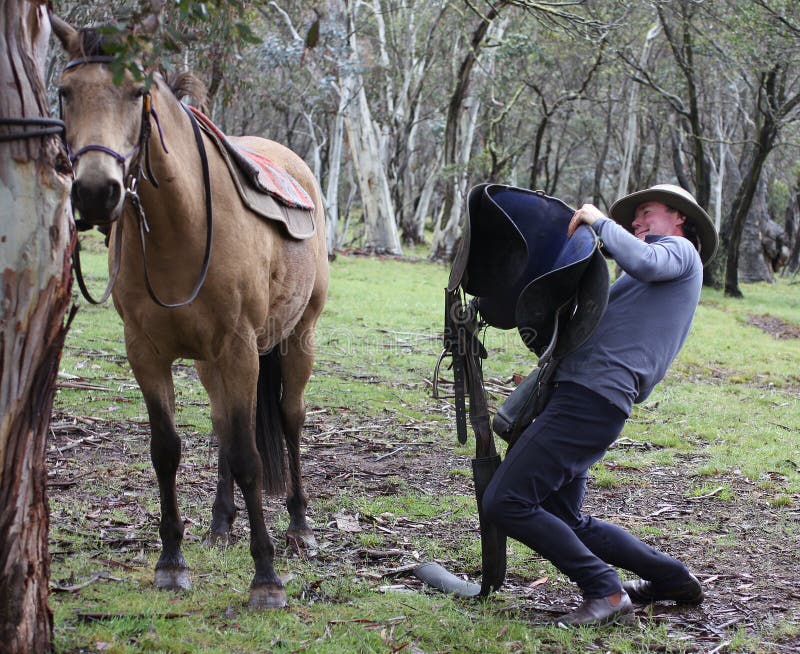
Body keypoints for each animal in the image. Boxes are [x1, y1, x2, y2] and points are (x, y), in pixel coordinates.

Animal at [51, 15, 329, 609]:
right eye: (64, 92)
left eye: (138, 92)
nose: (95, 191)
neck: (181, 227)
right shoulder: (147, 353)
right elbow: (168, 450)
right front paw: (171, 560)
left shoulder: (240, 349)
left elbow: (249, 456)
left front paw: (266, 576)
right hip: (210, 362)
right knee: (226, 426)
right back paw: (222, 523)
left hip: (296, 339)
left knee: (289, 420)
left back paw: (299, 526)